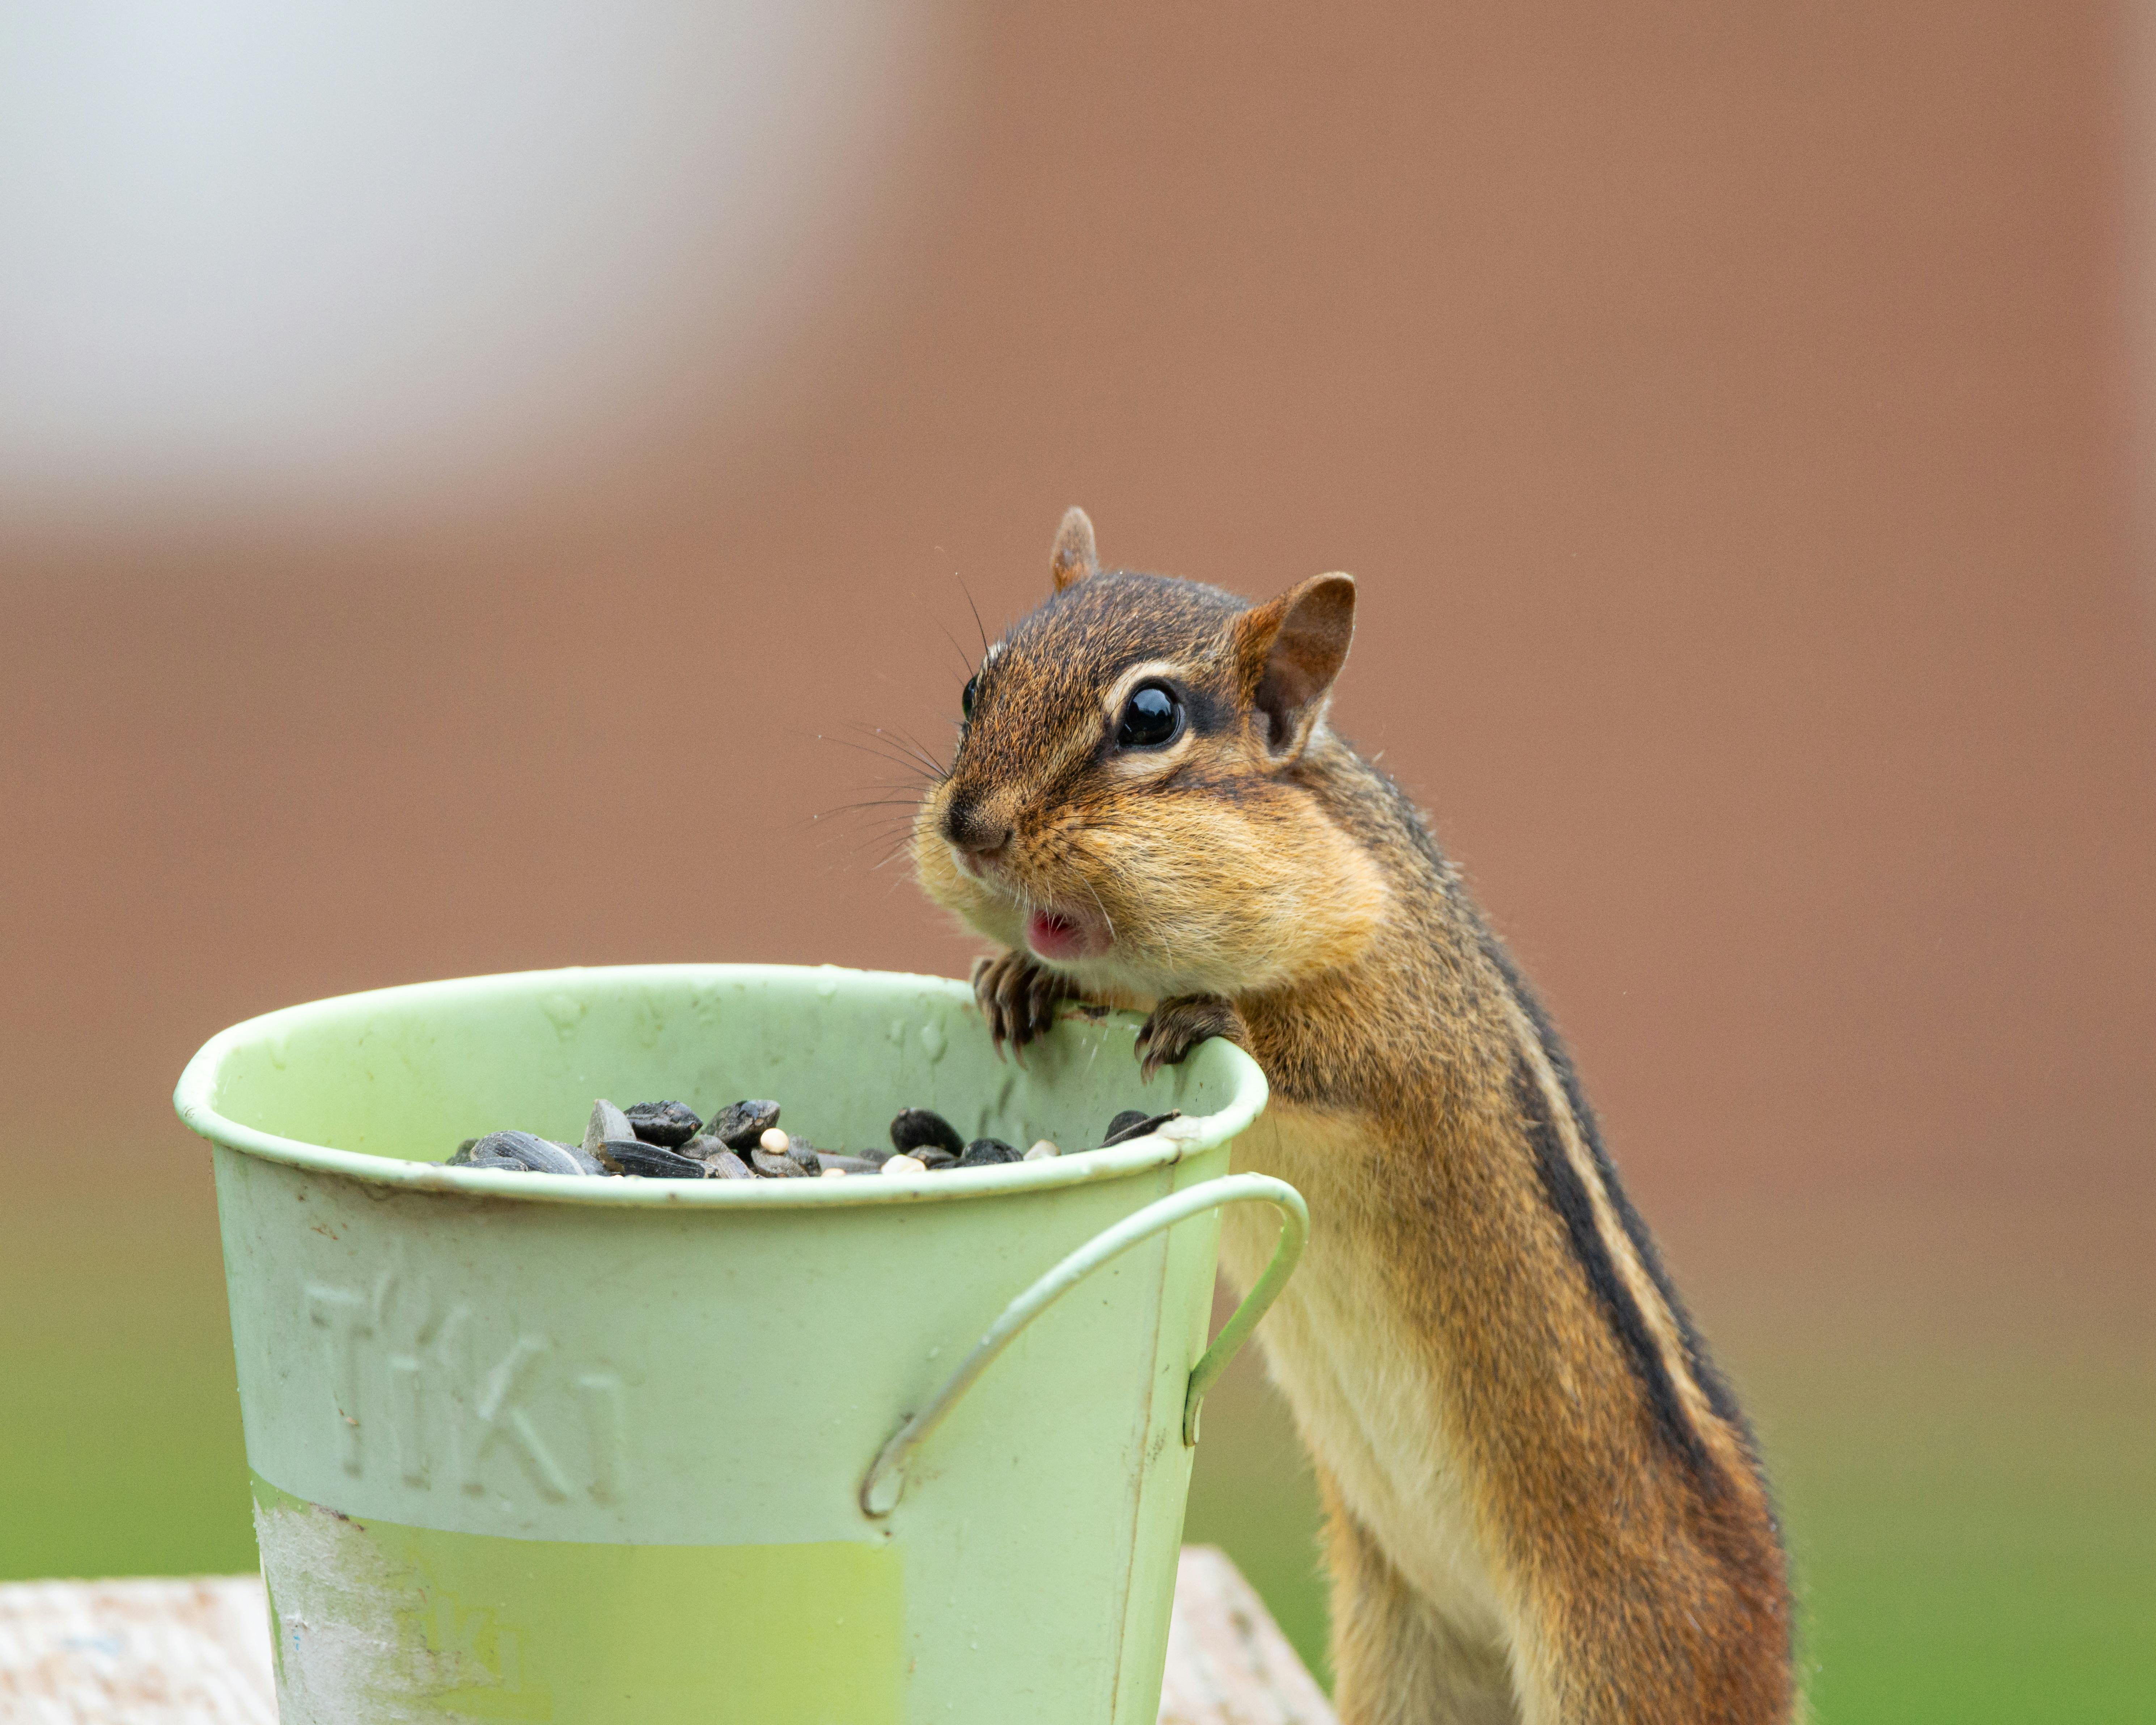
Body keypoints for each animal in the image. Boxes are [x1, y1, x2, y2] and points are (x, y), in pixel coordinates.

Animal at [911, 508, 1797, 1725]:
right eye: (971, 688)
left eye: (1151, 717)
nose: (968, 824)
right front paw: (1015, 980)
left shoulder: (1406, 1013)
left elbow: (1335, 1049)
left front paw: (1213, 1012)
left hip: (1624, 1663)